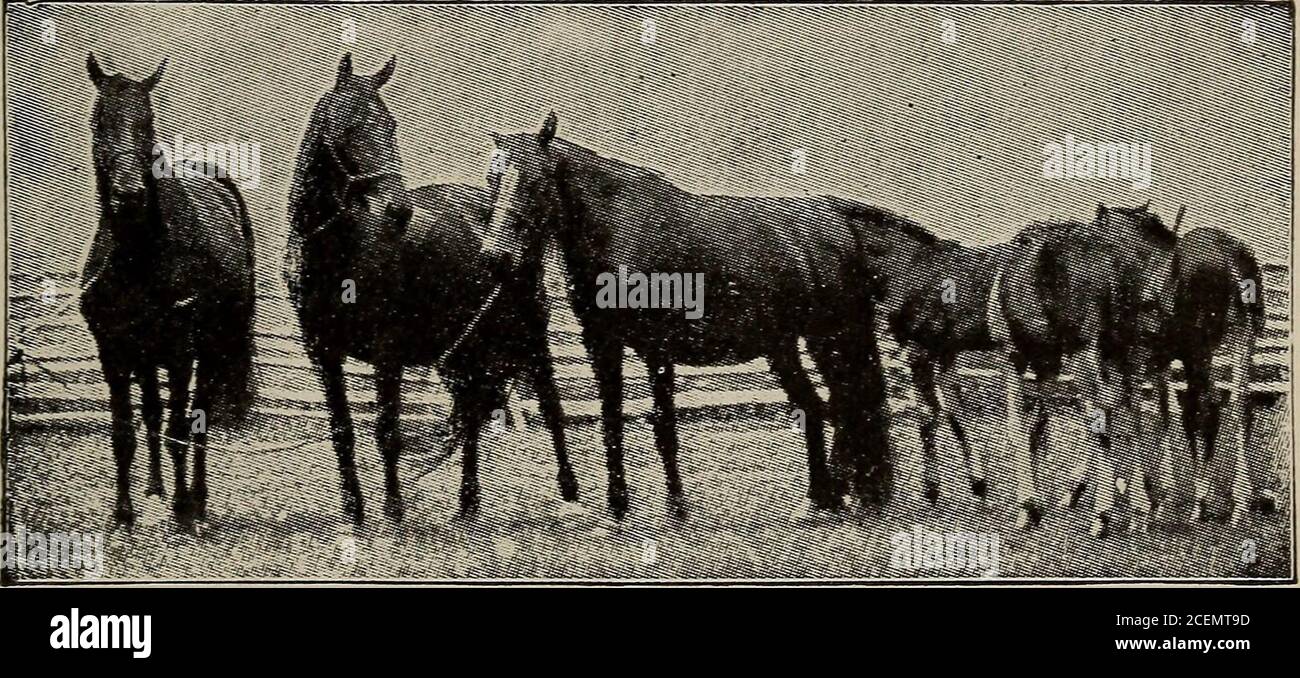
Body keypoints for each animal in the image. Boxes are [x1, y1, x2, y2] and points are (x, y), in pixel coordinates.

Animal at [81, 54, 257, 529]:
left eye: (148, 121)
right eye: (99, 119)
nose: (128, 195)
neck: (139, 258)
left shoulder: (180, 350)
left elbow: (181, 426)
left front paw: (182, 507)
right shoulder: (114, 350)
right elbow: (125, 429)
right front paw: (124, 510)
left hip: (210, 346)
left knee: (197, 415)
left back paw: (195, 497)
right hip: (147, 356)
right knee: (152, 411)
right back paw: (155, 485)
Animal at [285, 55, 578, 525]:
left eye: (390, 125)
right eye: (349, 126)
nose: (398, 208)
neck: (341, 252)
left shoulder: (387, 351)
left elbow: (387, 429)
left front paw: (394, 509)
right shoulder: (323, 352)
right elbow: (342, 429)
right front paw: (354, 509)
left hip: (529, 336)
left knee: (549, 404)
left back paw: (569, 489)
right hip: (463, 351)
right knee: (471, 412)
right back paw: (467, 502)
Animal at [478, 113, 898, 520]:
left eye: (533, 181)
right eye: (493, 179)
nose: (496, 257)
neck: (621, 232)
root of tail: (838, 218)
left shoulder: (657, 348)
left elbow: (664, 423)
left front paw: (676, 506)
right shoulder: (602, 345)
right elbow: (611, 419)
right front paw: (618, 506)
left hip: (831, 336)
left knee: (848, 402)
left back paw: (854, 495)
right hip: (783, 346)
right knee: (817, 405)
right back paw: (823, 498)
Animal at [1135, 225, 1271, 527]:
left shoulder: (1168, 363)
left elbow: (1173, 416)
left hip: (1200, 351)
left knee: (1206, 408)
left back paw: (1207, 500)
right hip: (1243, 342)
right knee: (1238, 408)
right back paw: (1243, 498)